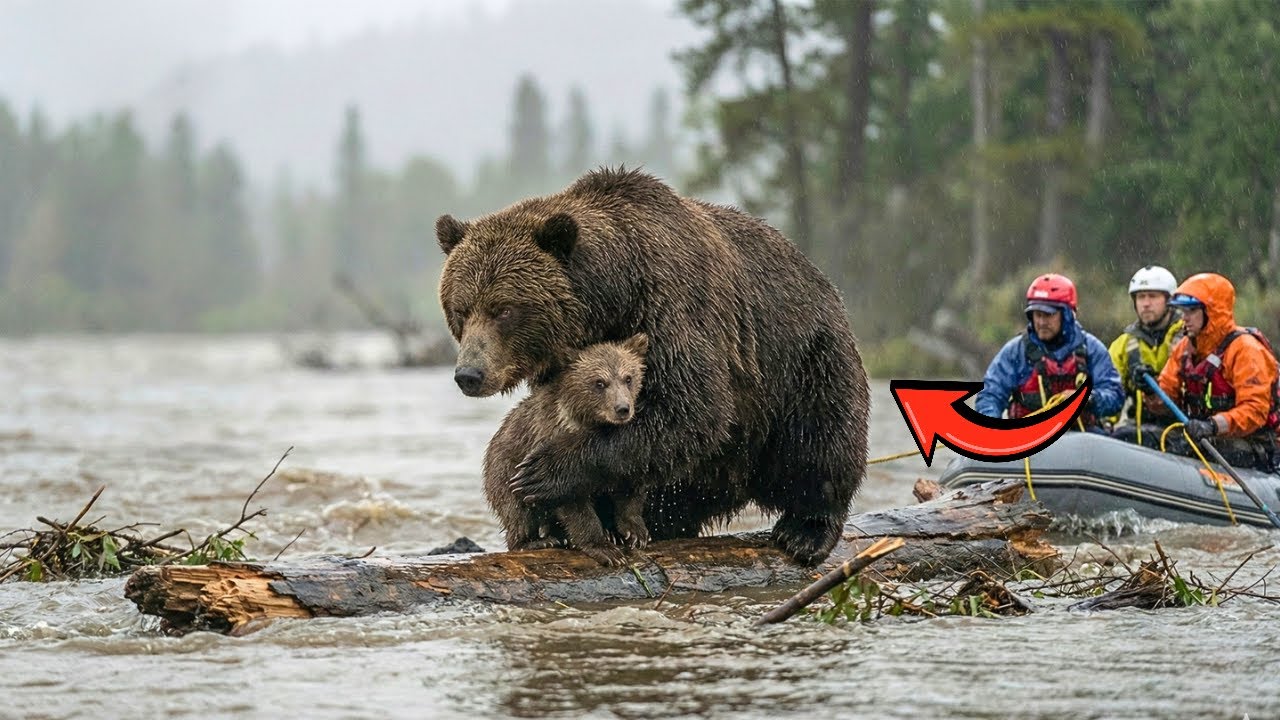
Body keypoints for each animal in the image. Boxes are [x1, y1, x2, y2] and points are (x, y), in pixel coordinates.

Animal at [482, 334, 651, 566]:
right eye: (599, 382)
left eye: (628, 378)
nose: (623, 408)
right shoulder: (550, 445)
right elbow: (572, 504)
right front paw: (605, 549)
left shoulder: (617, 452)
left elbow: (629, 485)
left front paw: (634, 532)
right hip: (505, 470)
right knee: (517, 510)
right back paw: (537, 541)